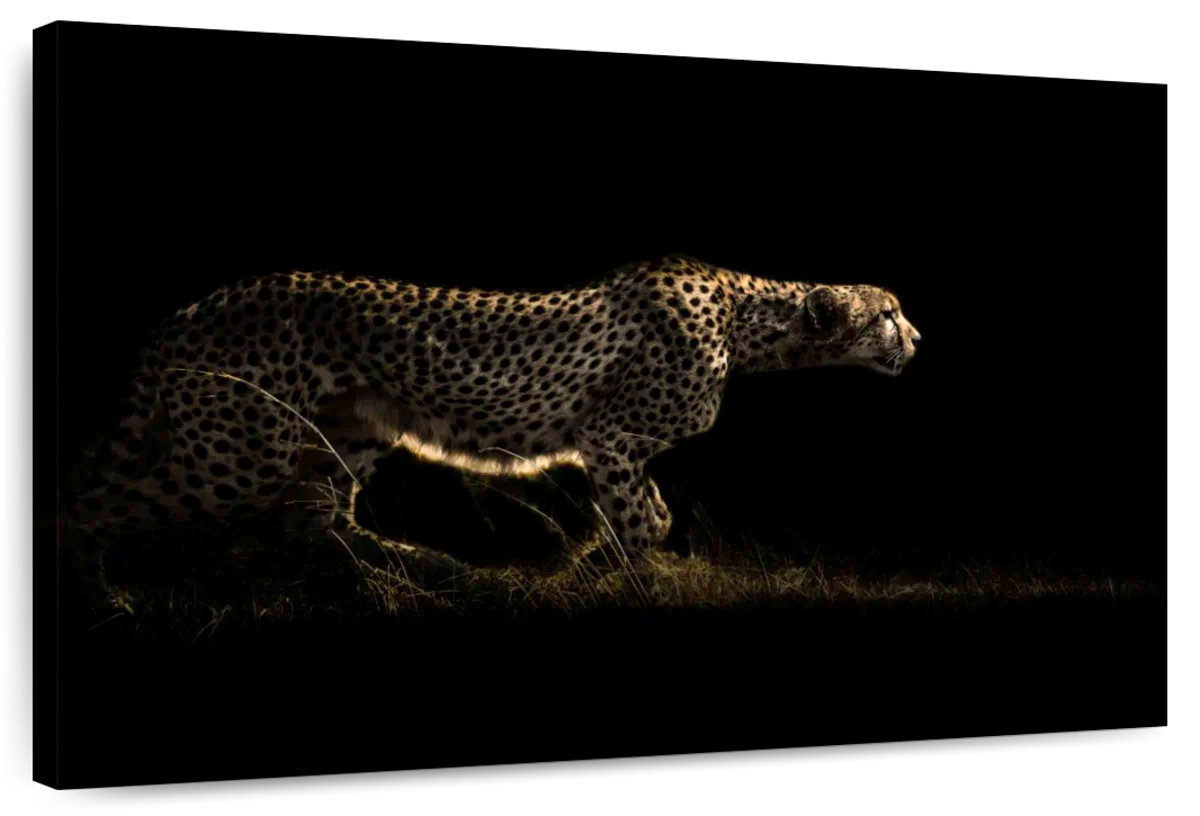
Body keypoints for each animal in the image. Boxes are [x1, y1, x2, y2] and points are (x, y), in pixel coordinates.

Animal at [60, 255, 921, 606]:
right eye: (886, 314)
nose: (918, 338)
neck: (750, 321)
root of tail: (187, 309)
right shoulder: (610, 438)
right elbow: (646, 519)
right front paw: (605, 578)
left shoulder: (614, 447)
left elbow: (649, 517)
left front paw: (585, 573)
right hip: (240, 450)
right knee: (91, 507)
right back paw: (97, 597)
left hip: (349, 430)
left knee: (315, 520)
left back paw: (440, 573)